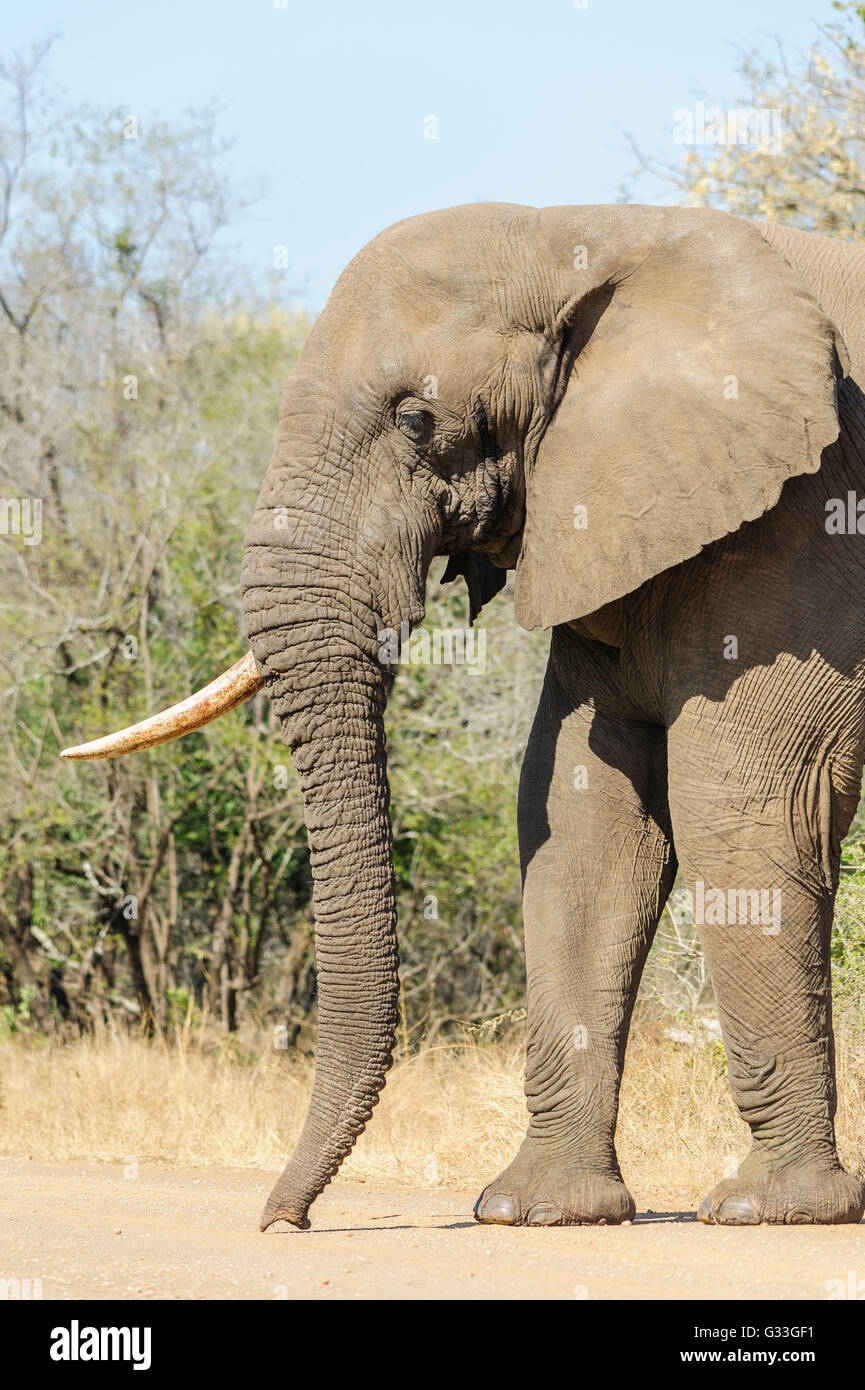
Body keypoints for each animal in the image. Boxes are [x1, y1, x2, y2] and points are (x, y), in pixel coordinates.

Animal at [62, 201, 865, 1231]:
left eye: (416, 419)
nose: (285, 1221)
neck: (581, 234)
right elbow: (579, 814)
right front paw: (532, 1211)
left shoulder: (806, 515)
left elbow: (739, 804)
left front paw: (768, 1210)